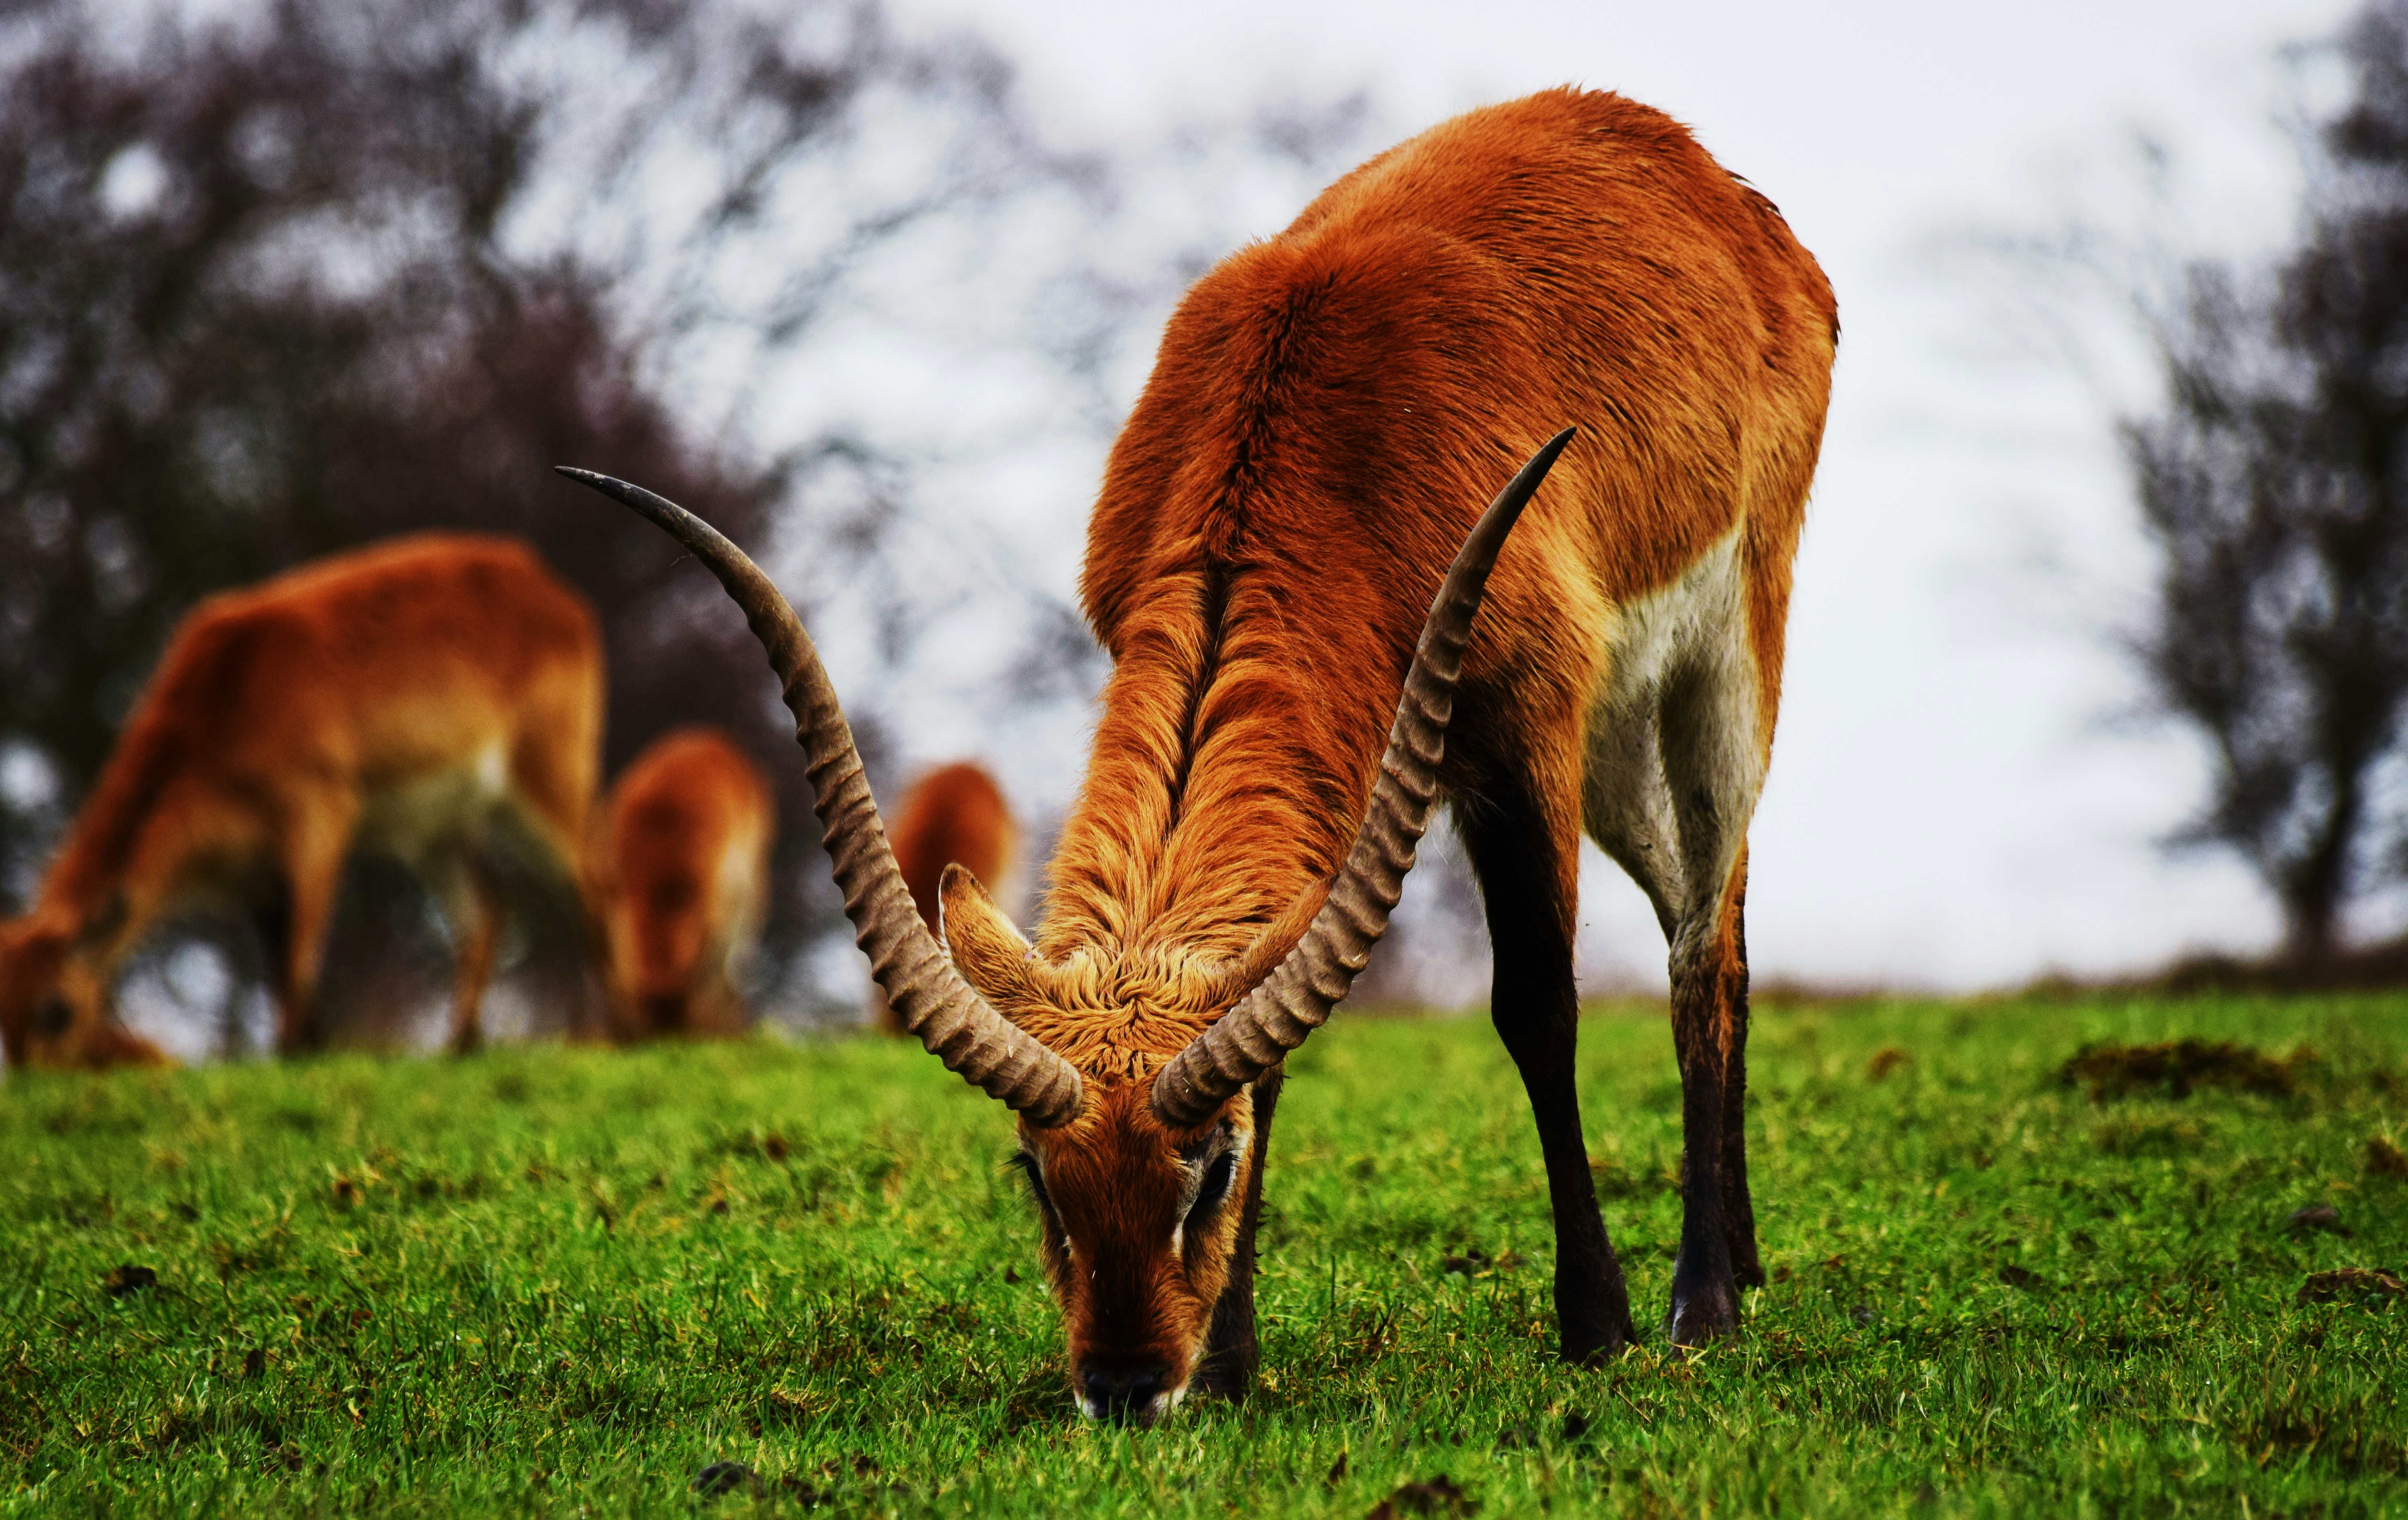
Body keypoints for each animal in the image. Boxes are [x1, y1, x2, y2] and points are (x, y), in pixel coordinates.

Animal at [0, 534, 602, 1069]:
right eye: (6, 1012)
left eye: (57, 1009)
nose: (34, 1079)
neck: (223, 704)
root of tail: (552, 589)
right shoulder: (254, 873)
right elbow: (275, 956)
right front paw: (311, 1048)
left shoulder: (318, 812)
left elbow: (301, 950)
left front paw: (291, 1055)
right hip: (437, 830)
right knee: (488, 910)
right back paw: (460, 1046)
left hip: (545, 788)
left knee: (594, 890)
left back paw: (614, 1033)